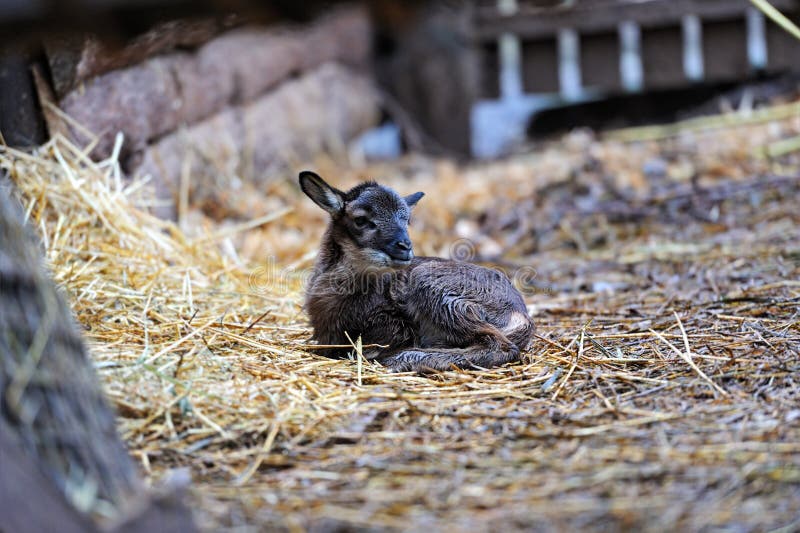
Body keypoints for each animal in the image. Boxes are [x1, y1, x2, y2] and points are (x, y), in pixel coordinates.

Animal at [299, 171, 534, 373]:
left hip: (436, 289)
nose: (405, 246)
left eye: (407, 220)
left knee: (501, 346)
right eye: (360, 219)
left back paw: (404, 359)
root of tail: (520, 314)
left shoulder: (394, 327)